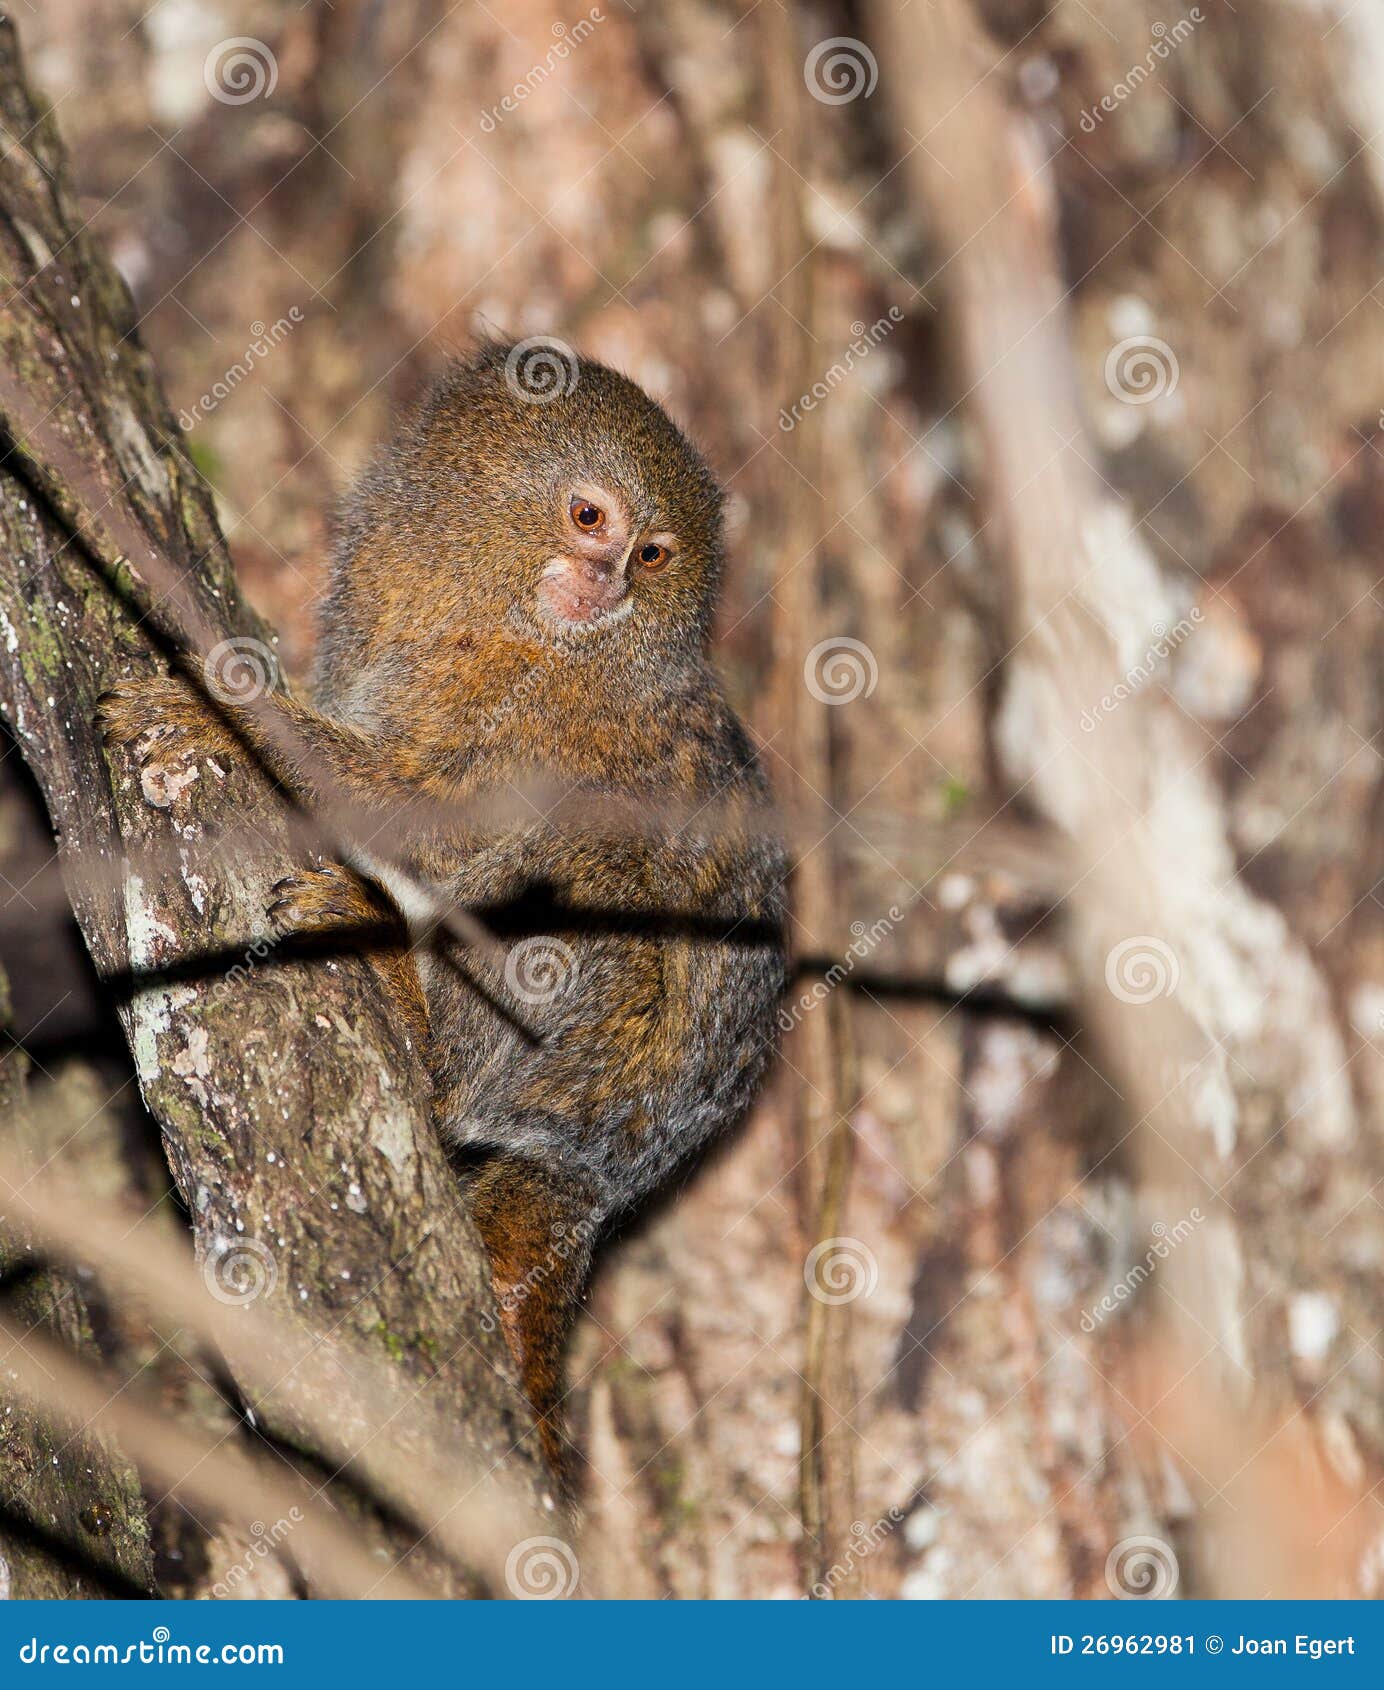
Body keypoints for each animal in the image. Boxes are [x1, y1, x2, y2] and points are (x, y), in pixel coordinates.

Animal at [99, 342, 788, 1477]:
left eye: (652, 556)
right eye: (589, 519)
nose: (606, 581)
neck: (513, 630)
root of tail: (604, 1175)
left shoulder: (537, 732)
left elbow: (422, 815)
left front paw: (216, 712)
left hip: (602, 1055)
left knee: (571, 886)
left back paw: (418, 1028)